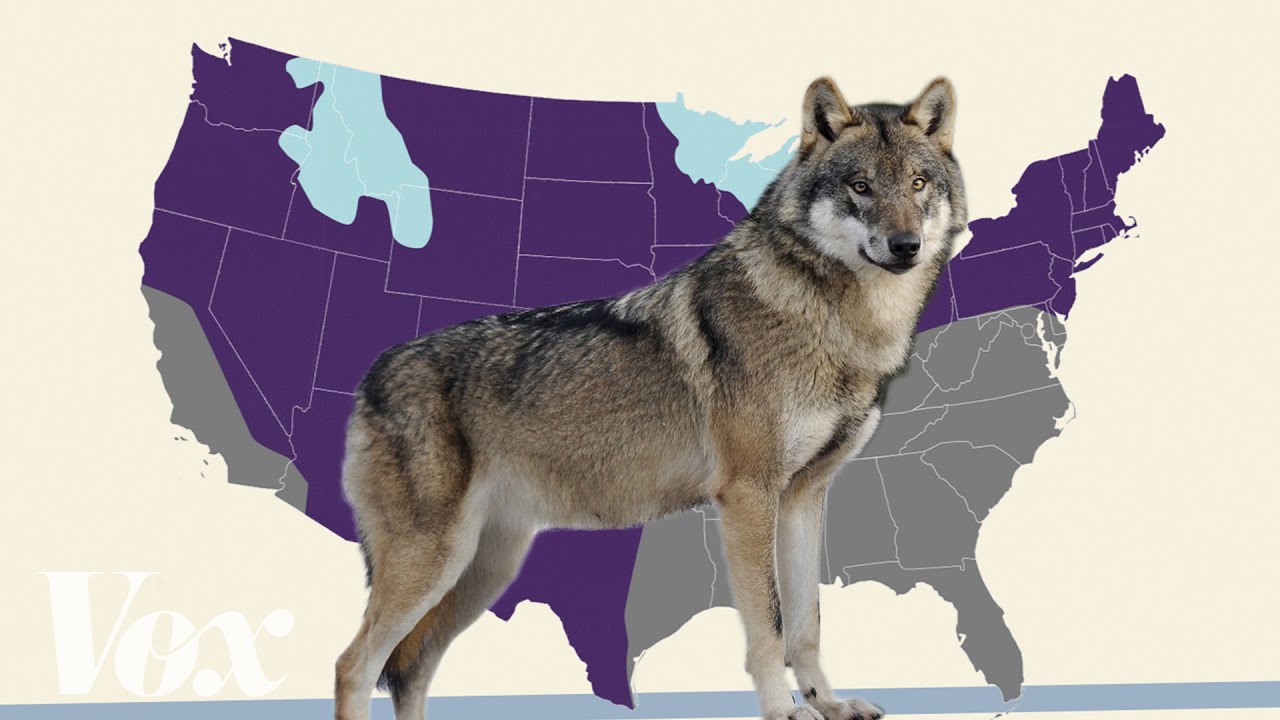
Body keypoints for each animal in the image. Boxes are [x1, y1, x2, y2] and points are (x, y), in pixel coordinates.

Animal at [334, 75, 967, 720]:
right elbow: (769, 624)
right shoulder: (748, 496)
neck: (838, 326)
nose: (906, 245)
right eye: (860, 187)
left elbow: (807, 621)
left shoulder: (803, 499)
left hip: (483, 570)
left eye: (917, 184)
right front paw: (785, 710)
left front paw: (828, 703)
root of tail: (369, 375)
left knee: (412, 669)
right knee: (354, 664)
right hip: (435, 562)